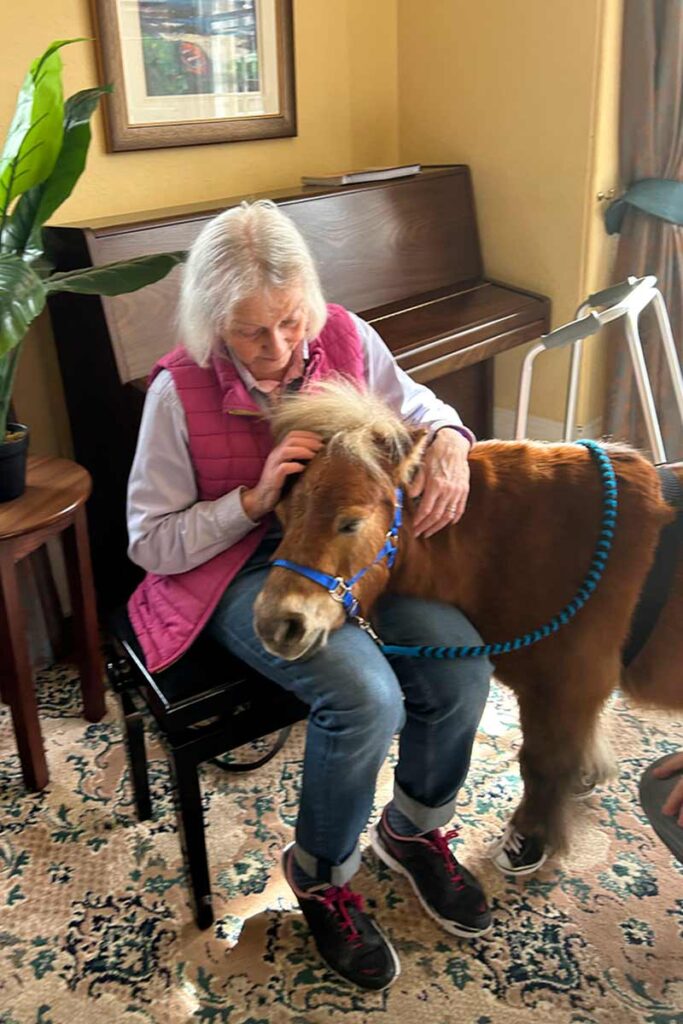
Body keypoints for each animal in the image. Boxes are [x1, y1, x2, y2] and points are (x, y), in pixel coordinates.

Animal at [253, 380, 683, 864]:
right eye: (281, 516)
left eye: (350, 523)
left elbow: (541, 762)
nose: (275, 624)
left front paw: (527, 839)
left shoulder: (565, 688)